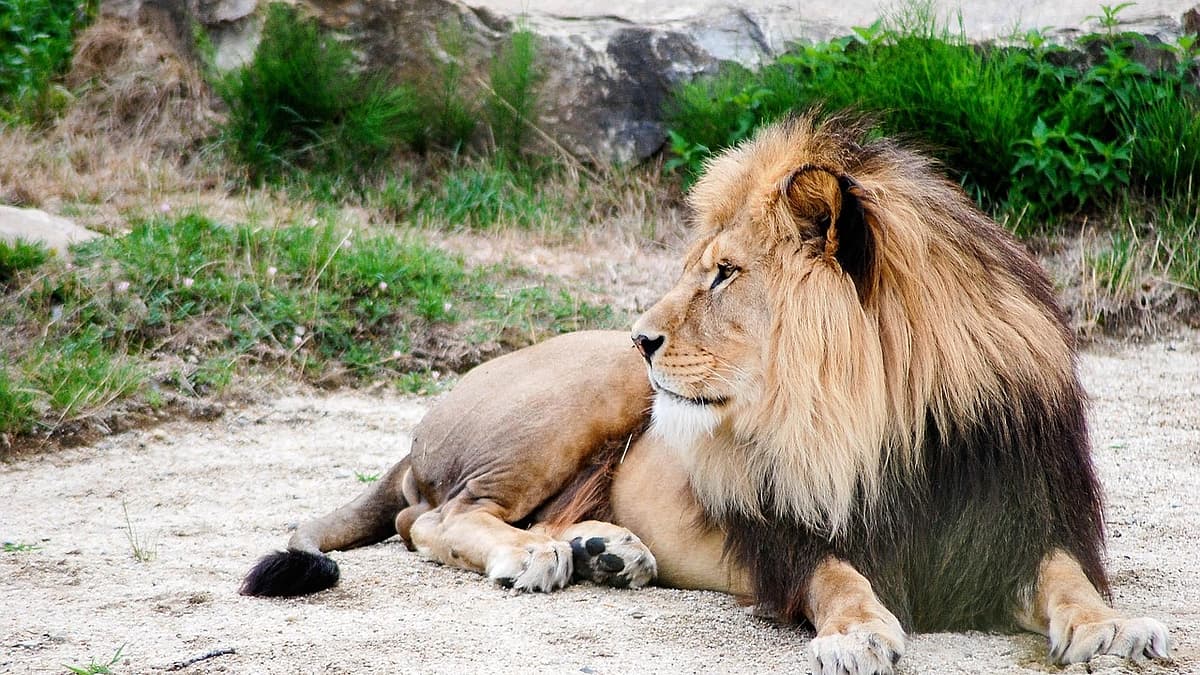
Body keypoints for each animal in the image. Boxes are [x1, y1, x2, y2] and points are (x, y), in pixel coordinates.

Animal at [242, 113, 1171, 673]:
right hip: (583, 398)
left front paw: (1111, 626)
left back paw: (604, 550)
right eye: (699, 268)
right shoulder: (788, 536)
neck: (884, 418)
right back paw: (534, 556)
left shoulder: (1015, 517)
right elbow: (838, 576)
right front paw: (858, 633)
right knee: (430, 518)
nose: (641, 335)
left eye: (723, 274)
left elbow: (1067, 575)